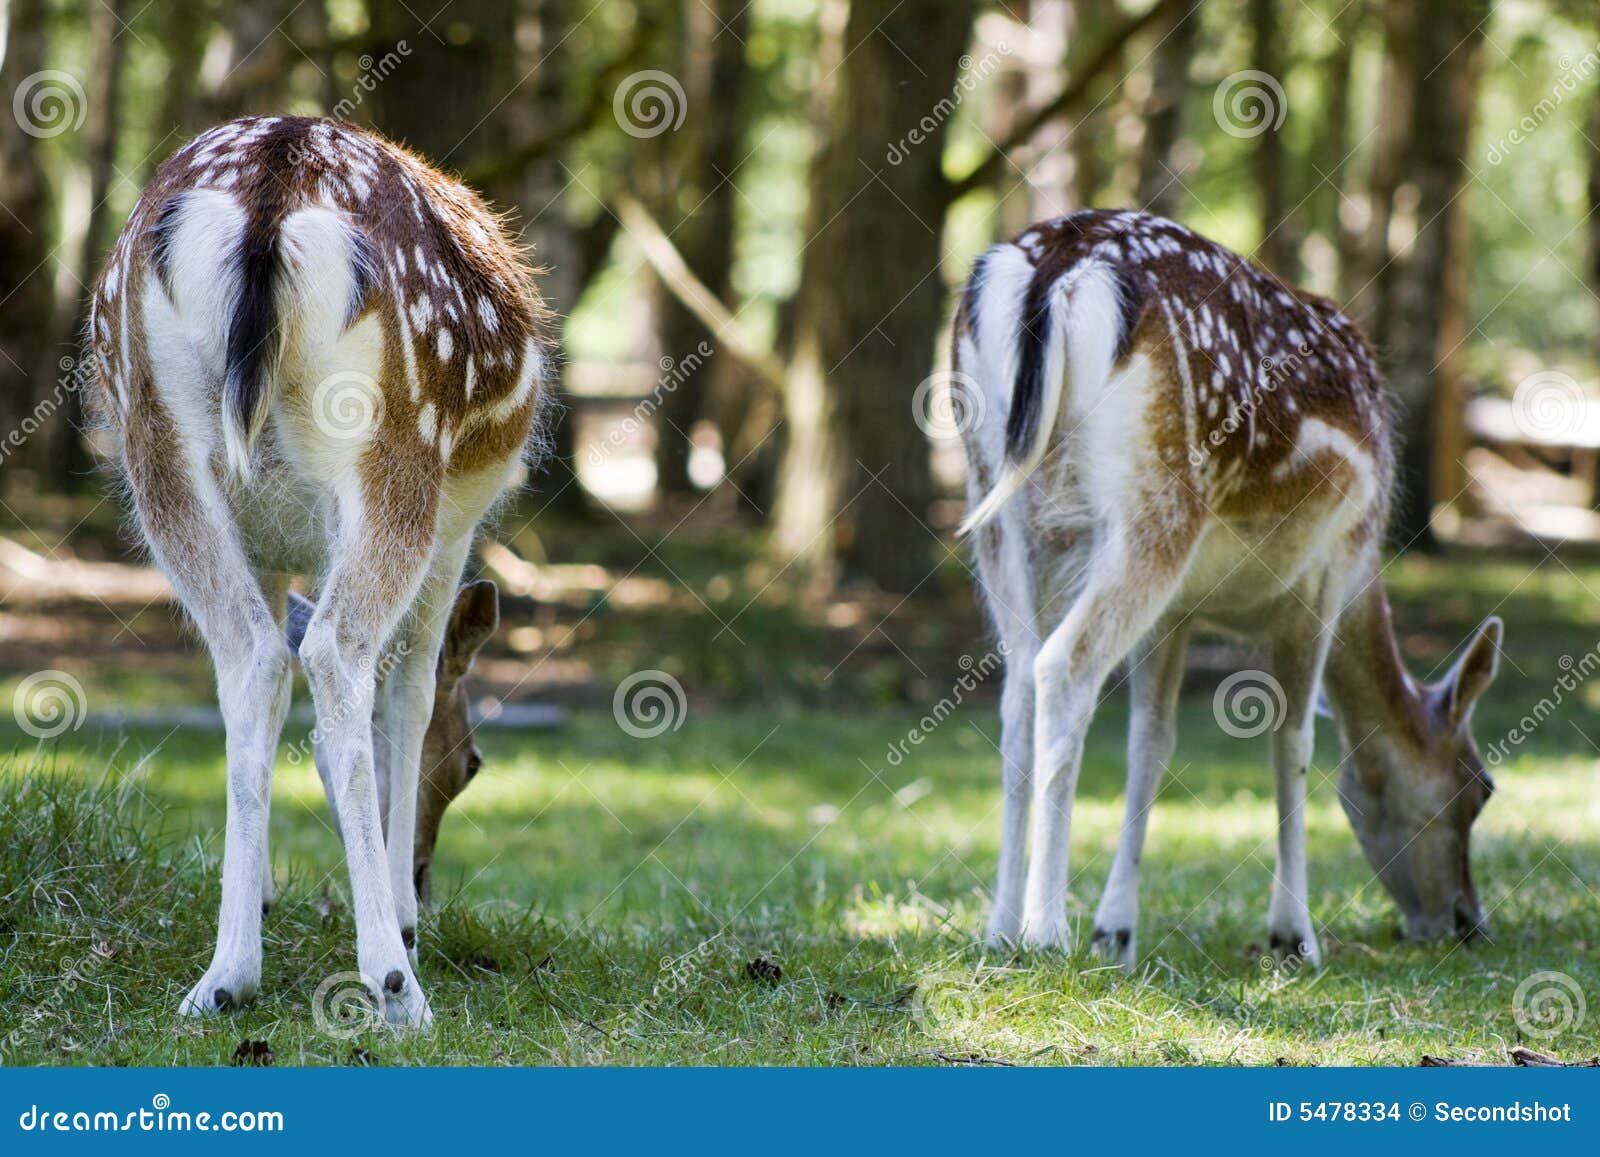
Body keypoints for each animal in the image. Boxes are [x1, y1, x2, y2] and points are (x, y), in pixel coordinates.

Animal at [86, 116, 547, 1026]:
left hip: (157, 444)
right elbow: (409, 690)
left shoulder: (266, 549)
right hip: (399, 449)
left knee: (254, 656)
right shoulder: (458, 527)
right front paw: (403, 923)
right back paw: (393, 982)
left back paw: (226, 973)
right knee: (337, 652)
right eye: (473, 763)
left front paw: (264, 891)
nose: (426, 882)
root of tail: (273, 188)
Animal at [955, 210, 1502, 967]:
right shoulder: (1327, 570)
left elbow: (1150, 744)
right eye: (1480, 787)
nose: (1466, 919)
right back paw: (1045, 931)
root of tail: (1059, 264)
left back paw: (1001, 926)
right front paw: (1294, 935)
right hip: (1156, 504)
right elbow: (1293, 740)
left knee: (1015, 684)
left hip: (994, 497)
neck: (1368, 581)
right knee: (1063, 665)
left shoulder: (1175, 613)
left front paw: (1116, 930)